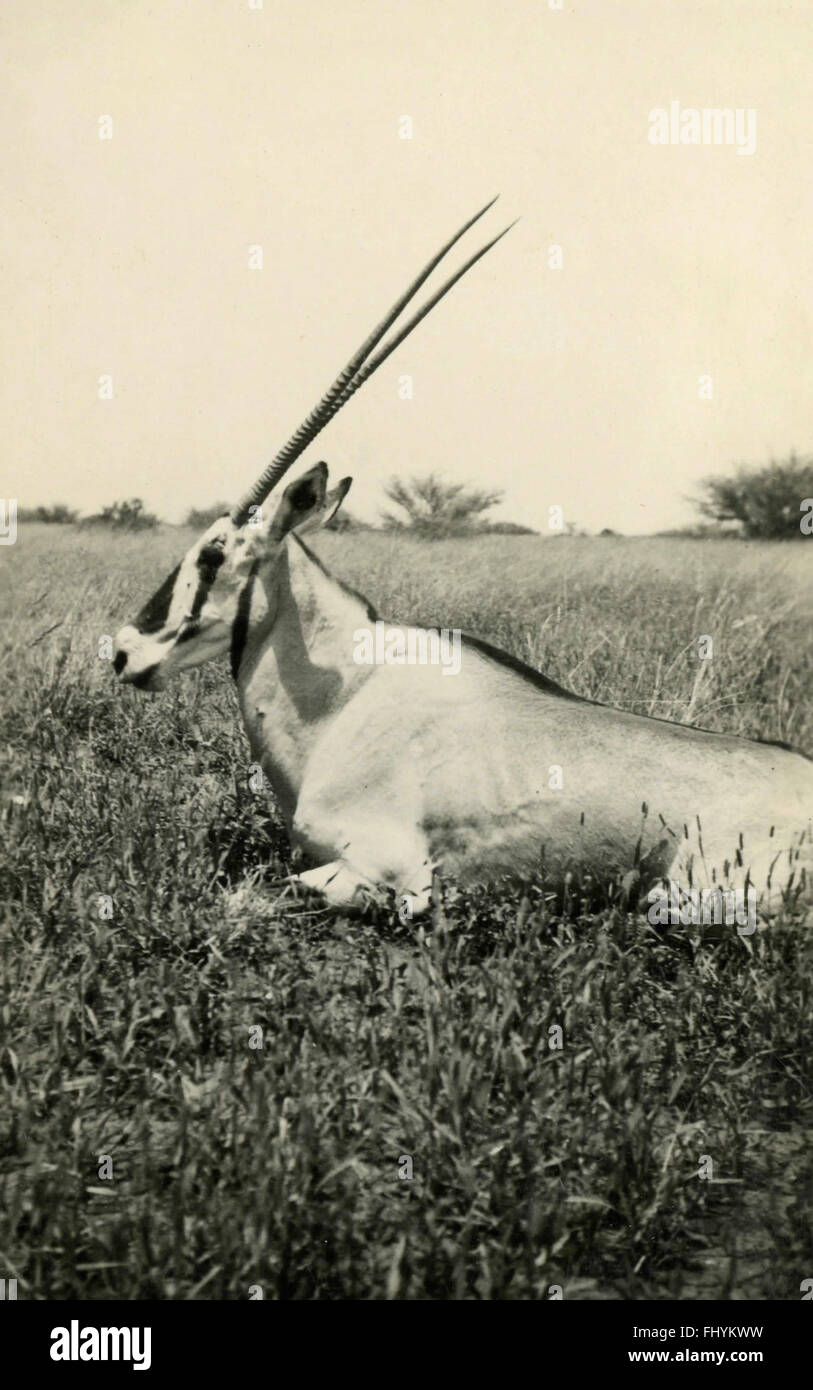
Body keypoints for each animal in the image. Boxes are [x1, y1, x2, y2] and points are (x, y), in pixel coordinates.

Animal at [114, 201, 813, 920]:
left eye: (213, 552)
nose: (123, 652)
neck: (344, 697)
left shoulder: (389, 874)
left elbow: (262, 892)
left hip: (682, 900)